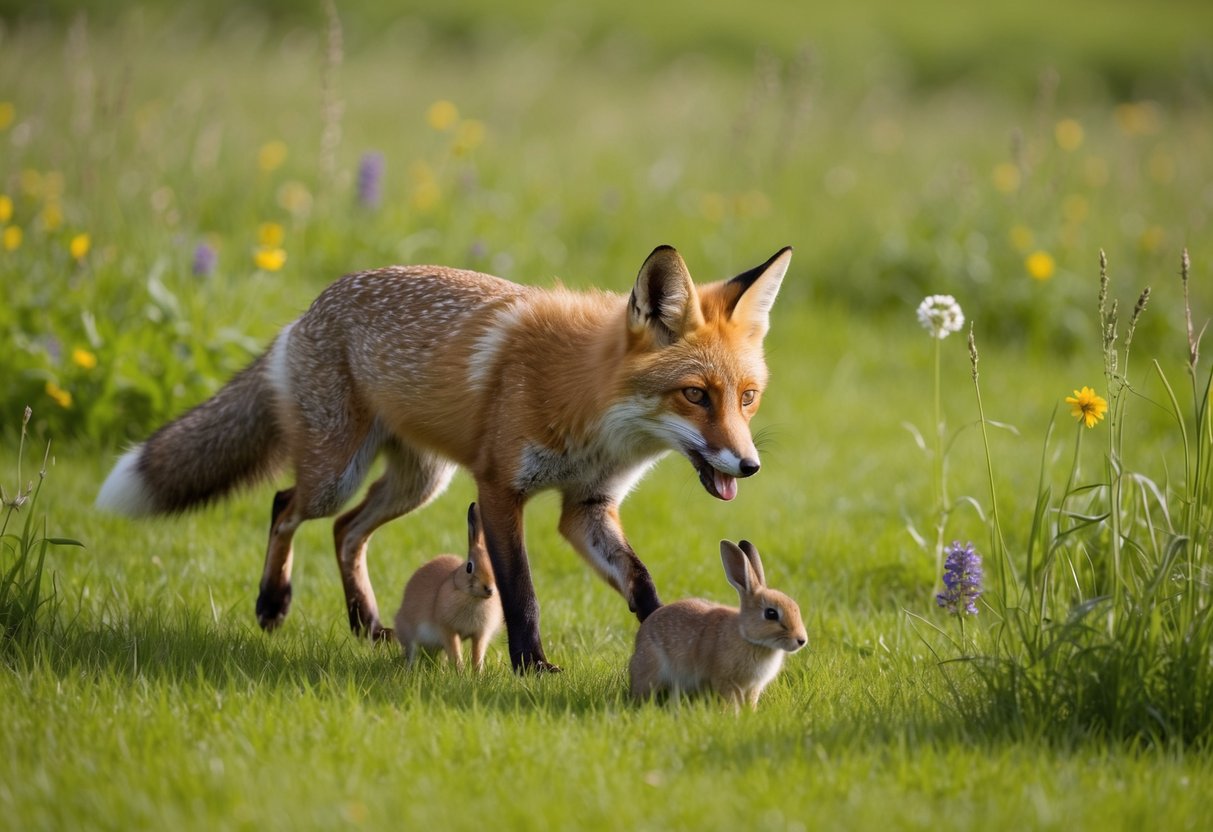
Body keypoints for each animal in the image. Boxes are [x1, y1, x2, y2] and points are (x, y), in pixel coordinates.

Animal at [96, 244, 792, 672]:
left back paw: (366, 624)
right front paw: (531, 666)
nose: (749, 466)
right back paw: (273, 603)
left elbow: (640, 581)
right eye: (695, 395)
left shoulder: (587, 506)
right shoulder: (499, 488)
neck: (589, 406)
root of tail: (307, 312)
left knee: (345, 531)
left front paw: (663, 635)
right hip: (338, 471)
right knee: (285, 506)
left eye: (747, 398)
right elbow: (520, 590)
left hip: (419, 480)